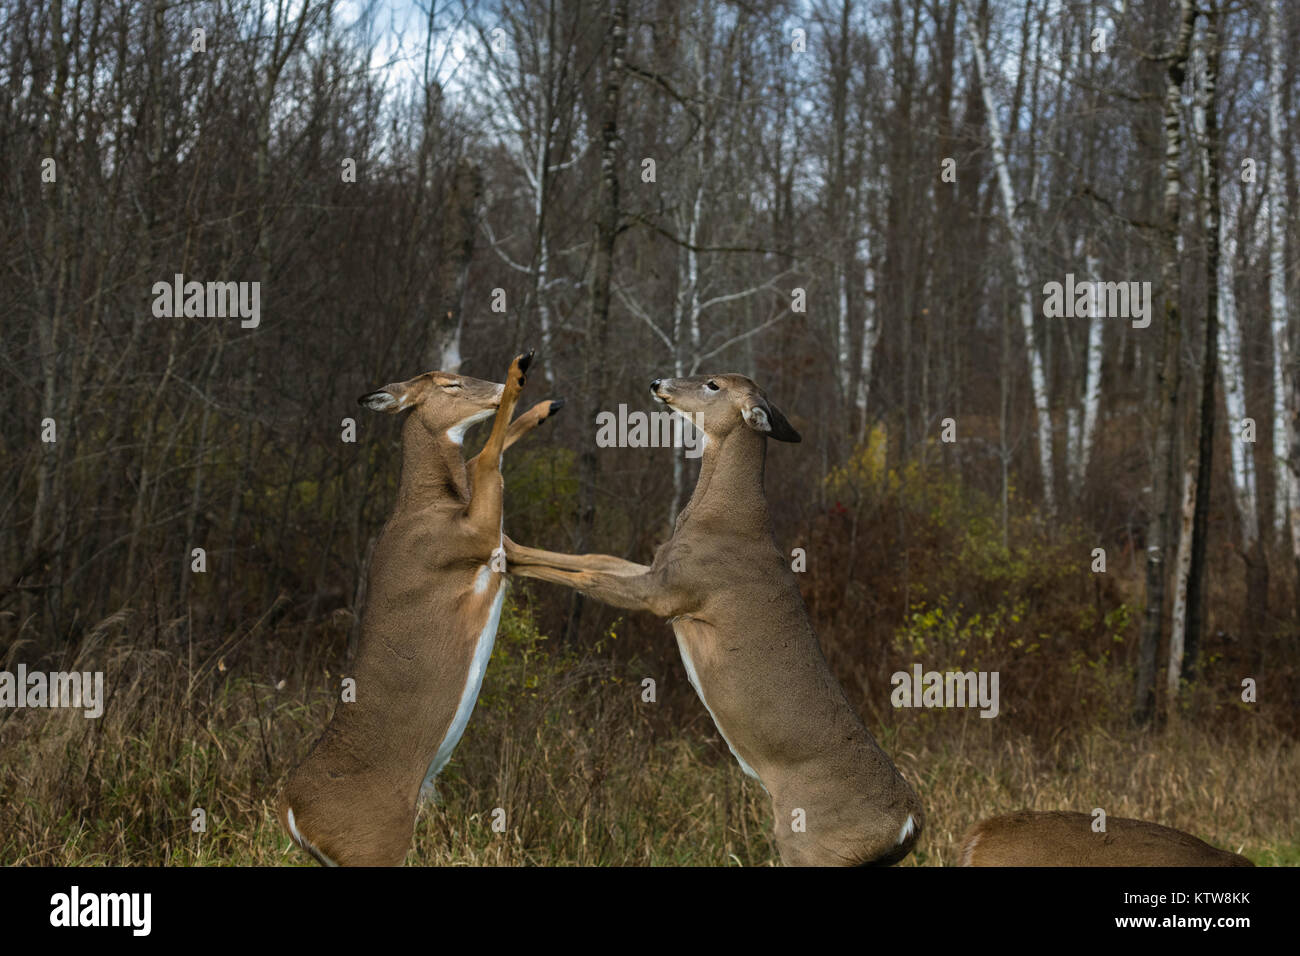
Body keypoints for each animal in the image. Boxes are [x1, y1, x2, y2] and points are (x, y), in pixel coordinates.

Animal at [278, 351, 561, 866]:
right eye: (451, 383)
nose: (493, 388)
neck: (432, 502)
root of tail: (290, 812)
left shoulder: (500, 544)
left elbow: (478, 458)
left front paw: (545, 405)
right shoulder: (472, 537)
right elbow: (486, 458)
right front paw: (519, 372)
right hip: (375, 844)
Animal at [505, 373, 923, 866]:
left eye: (713, 384)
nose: (658, 382)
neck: (722, 516)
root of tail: (909, 822)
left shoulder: (669, 593)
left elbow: (586, 575)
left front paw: (500, 550)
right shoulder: (659, 572)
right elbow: (592, 559)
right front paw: (503, 541)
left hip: (810, 844)